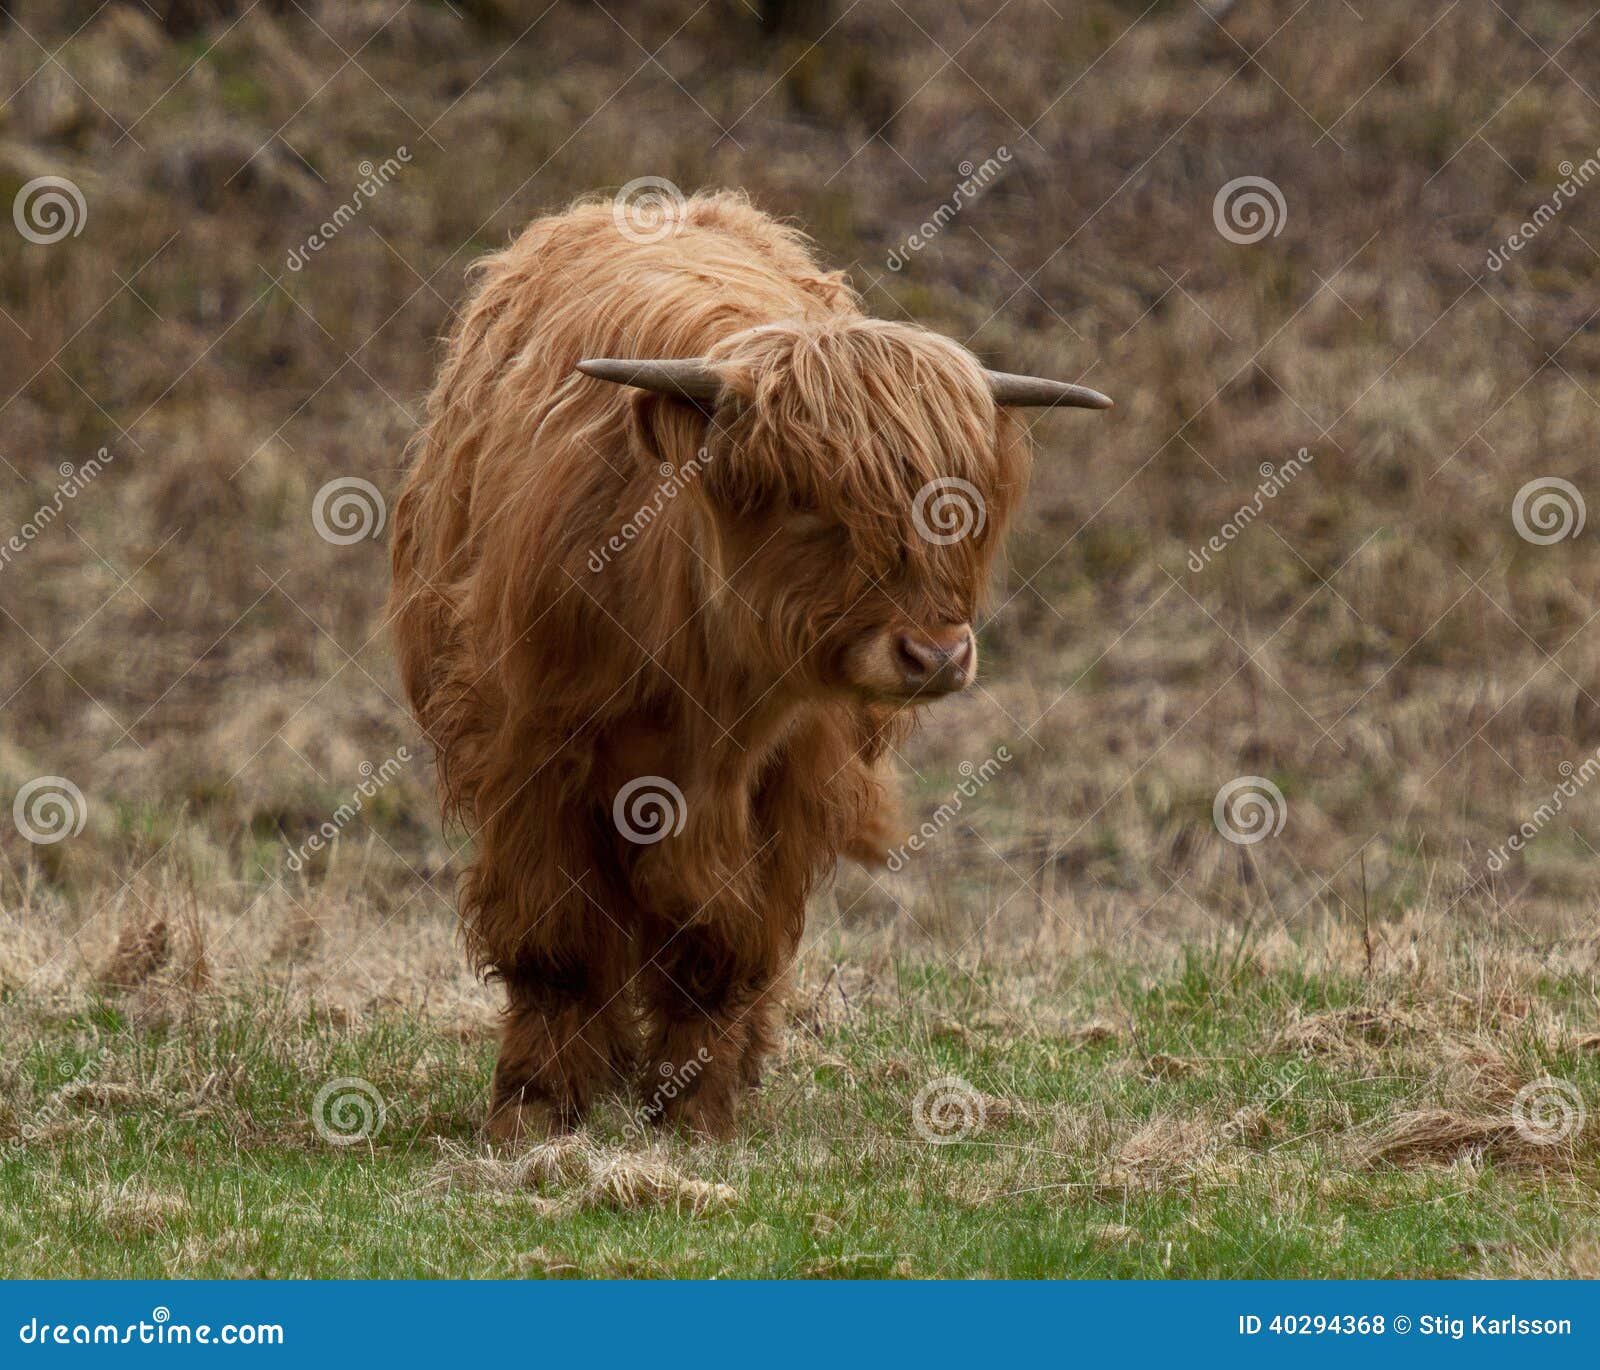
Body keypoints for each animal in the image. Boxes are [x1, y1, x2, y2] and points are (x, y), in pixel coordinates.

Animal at [388, 190, 1109, 1140]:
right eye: (807, 501)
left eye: (958, 508)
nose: (936, 654)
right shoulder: (532, 750)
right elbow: (557, 938)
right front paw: (536, 1107)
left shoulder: (795, 775)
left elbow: (728, 942)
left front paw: (697, 1109)